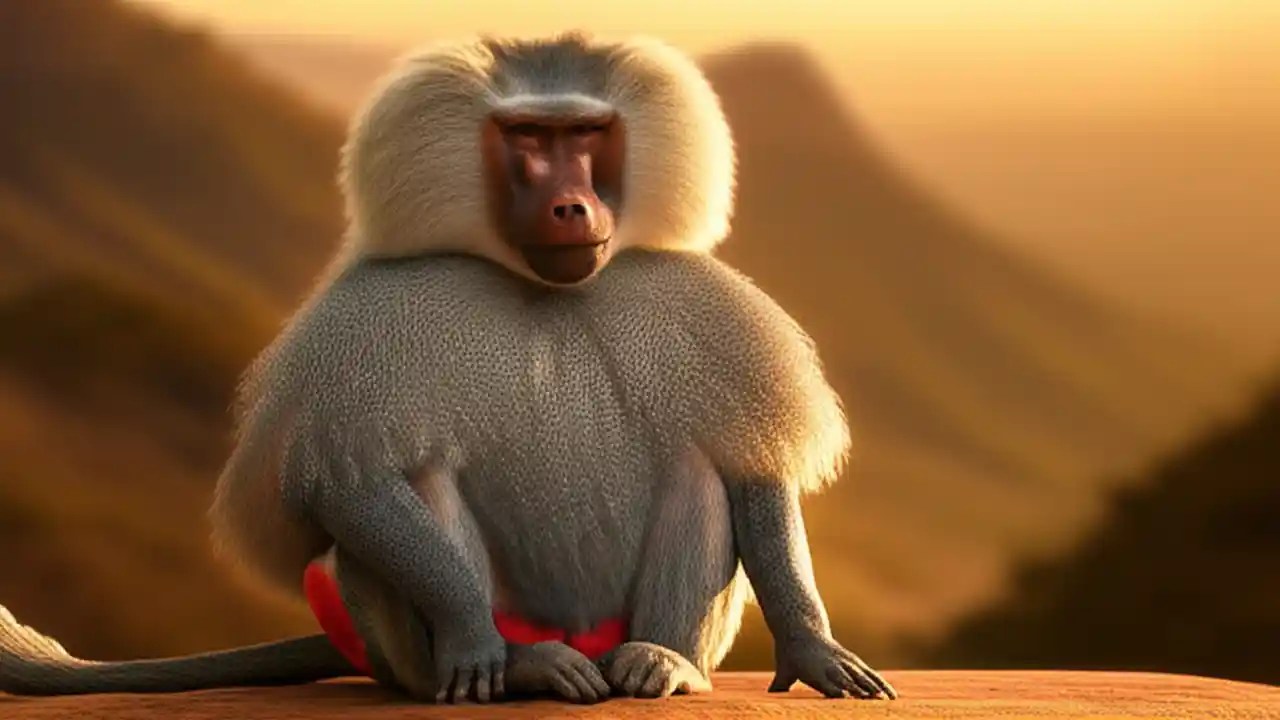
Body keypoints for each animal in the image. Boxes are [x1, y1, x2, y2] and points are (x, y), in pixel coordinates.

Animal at [0, 32, 897, 705]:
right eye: (528, 139)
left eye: (584, 137)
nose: (572, 206)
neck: (544, 292)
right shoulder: (368, 331)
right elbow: (346, 484)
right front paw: (468, 636)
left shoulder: (699, 313)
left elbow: (749, 466)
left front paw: (813, 649)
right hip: (411, 640)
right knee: (416, 482)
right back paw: (520, 666)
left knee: (696, 473)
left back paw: (658, 660)